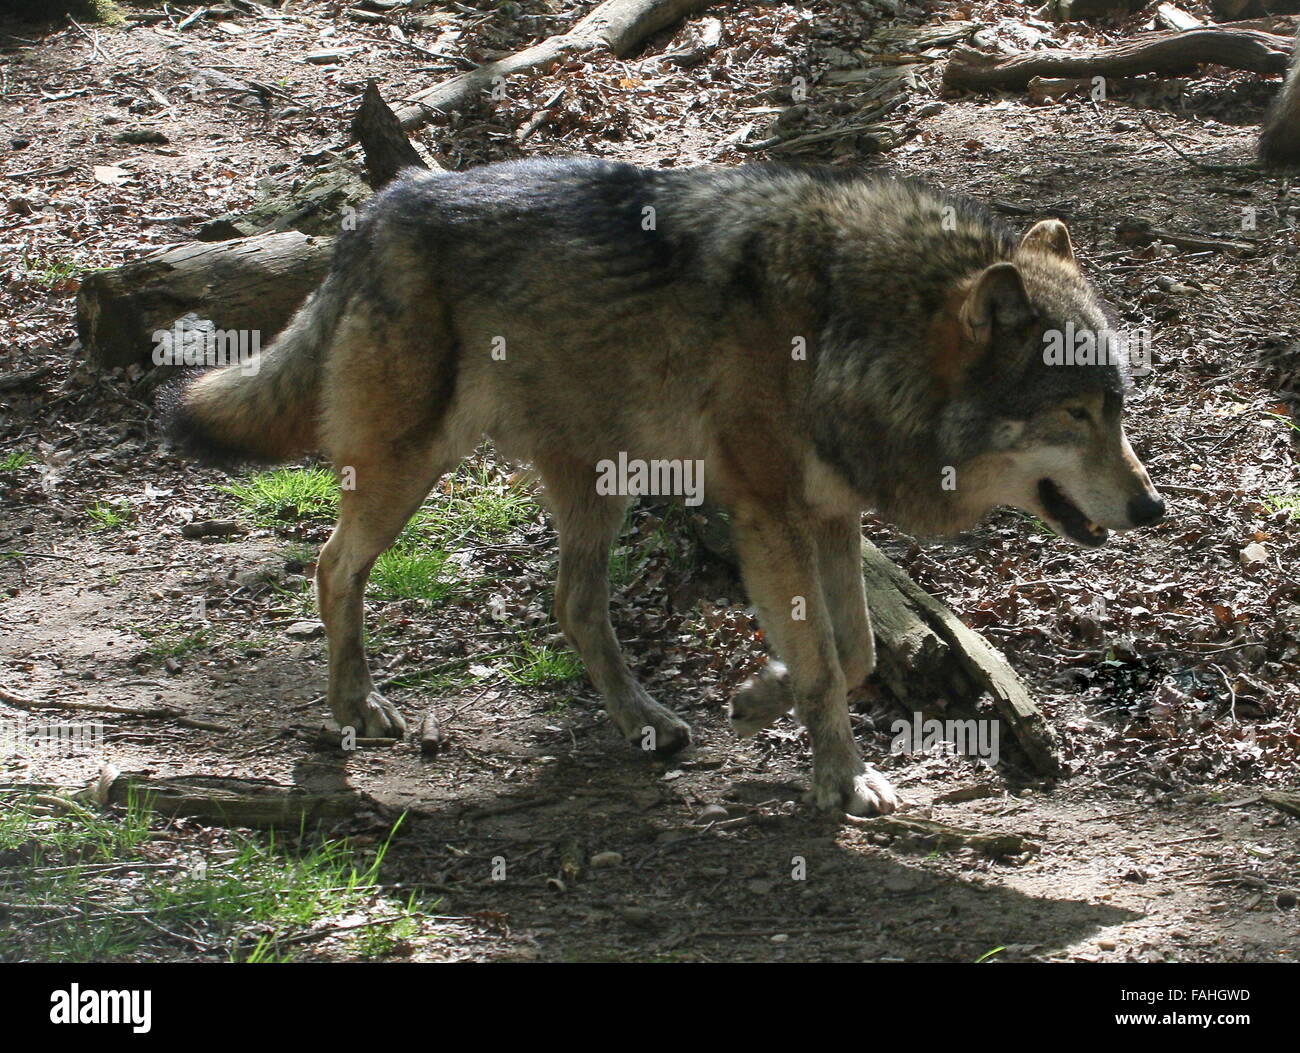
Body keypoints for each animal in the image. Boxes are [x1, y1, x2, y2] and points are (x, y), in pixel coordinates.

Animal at [162, 158, 1165, 816]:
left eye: (1118, 406)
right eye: (1074, 413)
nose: (1153, 507)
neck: (845, 324)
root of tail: (372, 212)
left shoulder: (831, 513)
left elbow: (853, 651)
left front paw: (759, 697)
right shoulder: (767, 512)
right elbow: (826, 658)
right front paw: (841, 779)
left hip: (599, 483)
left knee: (571, 604)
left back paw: (645, 719)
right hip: (413, 466)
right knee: (334, 566)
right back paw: (354, 707)